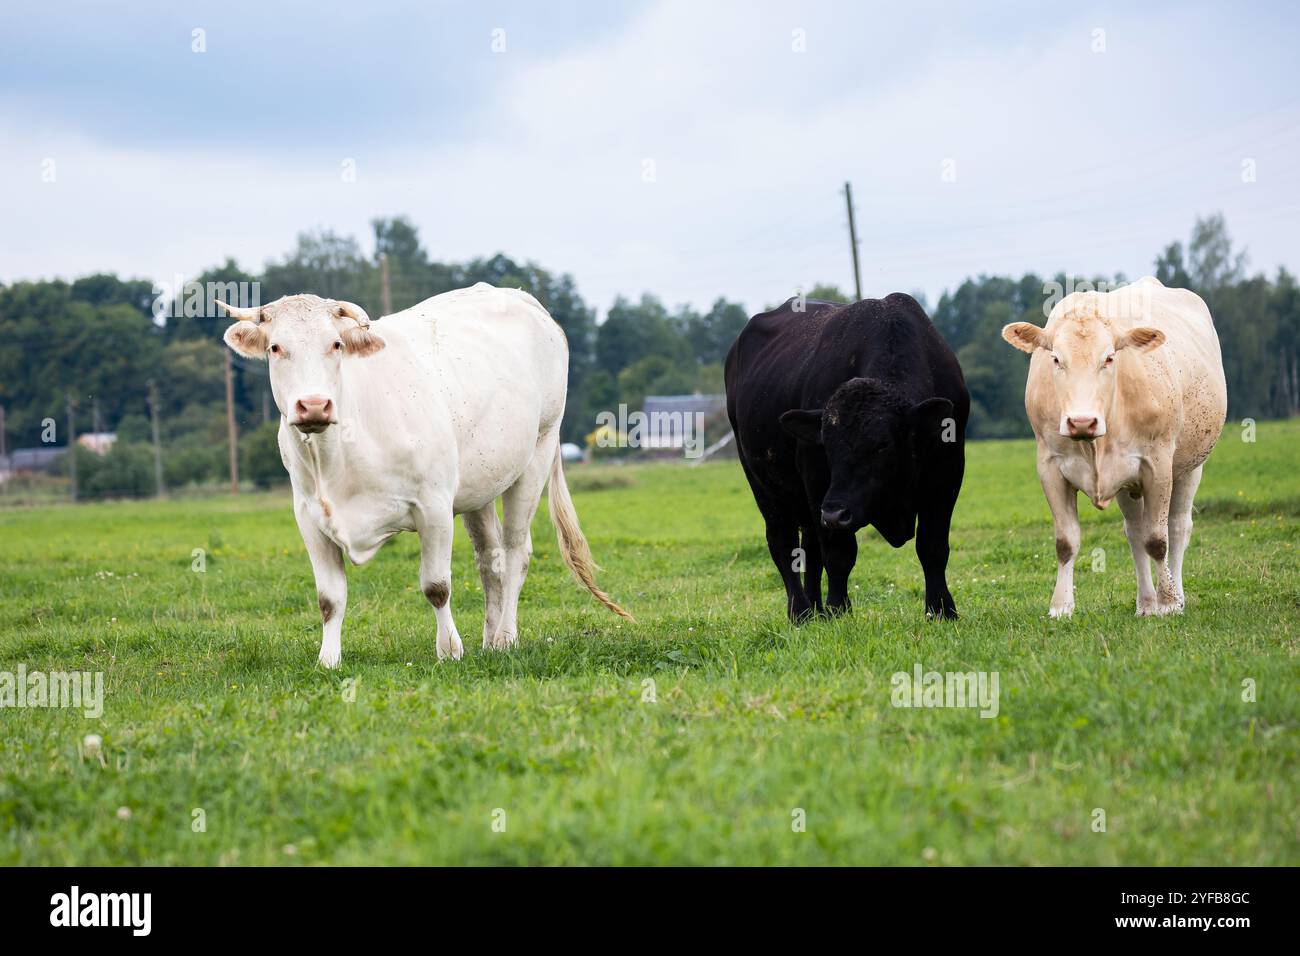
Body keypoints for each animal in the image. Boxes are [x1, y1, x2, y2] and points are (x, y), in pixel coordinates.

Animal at [216, 284, 632, 668]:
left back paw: (506, 637)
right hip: (478, 486)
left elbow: (436, 587)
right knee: (490, 558)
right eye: (275, 348)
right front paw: (328, 660)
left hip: (538, 453)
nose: (314, 405)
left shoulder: (434, 506)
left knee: (516, 552)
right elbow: (329, 599)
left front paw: (449, 650)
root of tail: (519, 295)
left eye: (335, 344)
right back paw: (489, 638)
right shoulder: (309, 517)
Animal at [725, 293, 969, 622]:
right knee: (783, 545)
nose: (834, 513)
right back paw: (801, 612)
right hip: (764, 485)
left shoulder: (947, 473)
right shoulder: (818, 480)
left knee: (810, 549)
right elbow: (839, 553)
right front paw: (839, 609)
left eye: (882, 445)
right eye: (827, 445)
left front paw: (941, 609)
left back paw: (816, 610)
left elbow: (933, 546)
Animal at [1001, 276, 1227, 617]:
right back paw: (1145, 603)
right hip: (1127, 484)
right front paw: (1060, 607)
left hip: (1190, 467)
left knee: (1177, 528)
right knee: (1134, 532)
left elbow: (1158, 540)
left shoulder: (1157, 465)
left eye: (1109, 357)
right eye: (1056, 358)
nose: (1082, 422)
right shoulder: (1050, 466)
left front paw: (1168, 603)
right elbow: (1066, 542)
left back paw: (1174, 596)